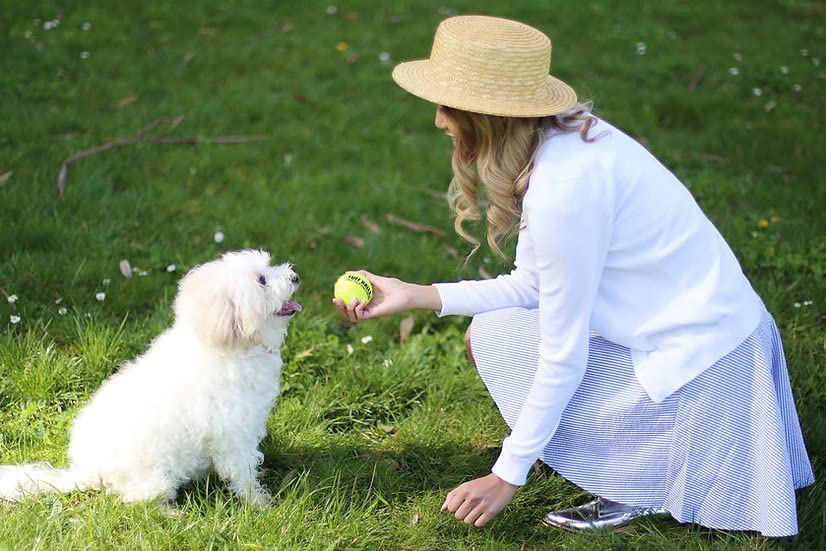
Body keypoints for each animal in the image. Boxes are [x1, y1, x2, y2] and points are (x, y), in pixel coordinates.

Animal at [0, 252, 300, 506]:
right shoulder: (233, 436)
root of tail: (85, 473)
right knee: (136, 502)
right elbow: (242, 474)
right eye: (261, 280)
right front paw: (260, 504)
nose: (295, 277)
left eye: (269, 266)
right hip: (157, 479)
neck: (226, 345)